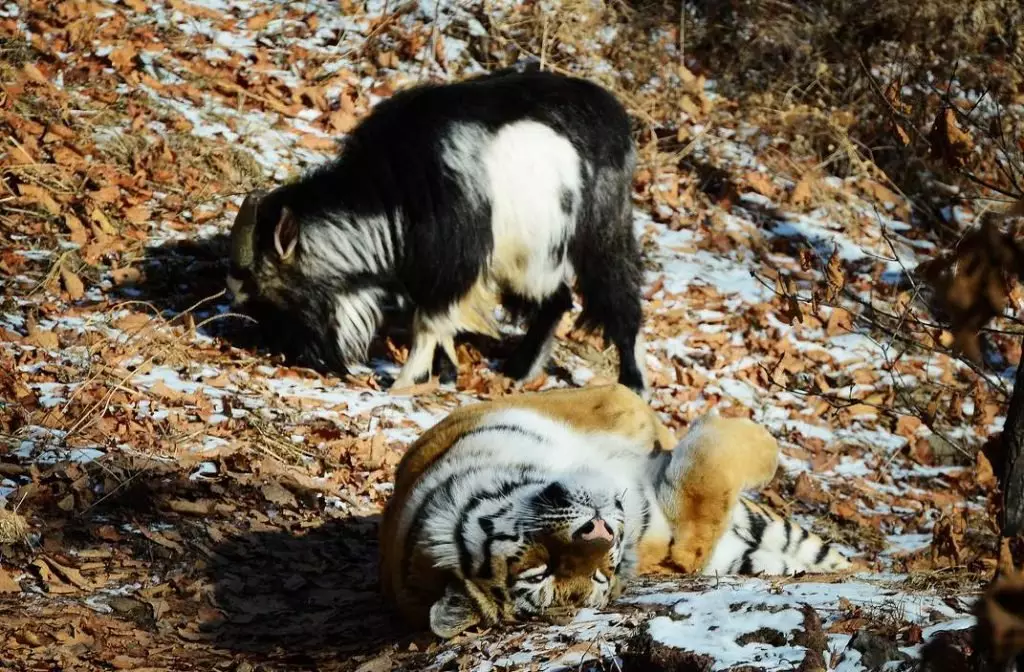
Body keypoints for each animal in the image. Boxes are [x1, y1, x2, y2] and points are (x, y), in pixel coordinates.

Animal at [230, 67, 647, 393]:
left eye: (269, 294)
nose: (290, 356)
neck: (395, 192)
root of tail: (617, 119)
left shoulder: (451, 263)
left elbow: (429, 324)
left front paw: (404, 382)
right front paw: (445, 374)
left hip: (597, 232)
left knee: (615, 296)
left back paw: (633, 382)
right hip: (527, 257)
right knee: (556, 300)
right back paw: (518, 371)